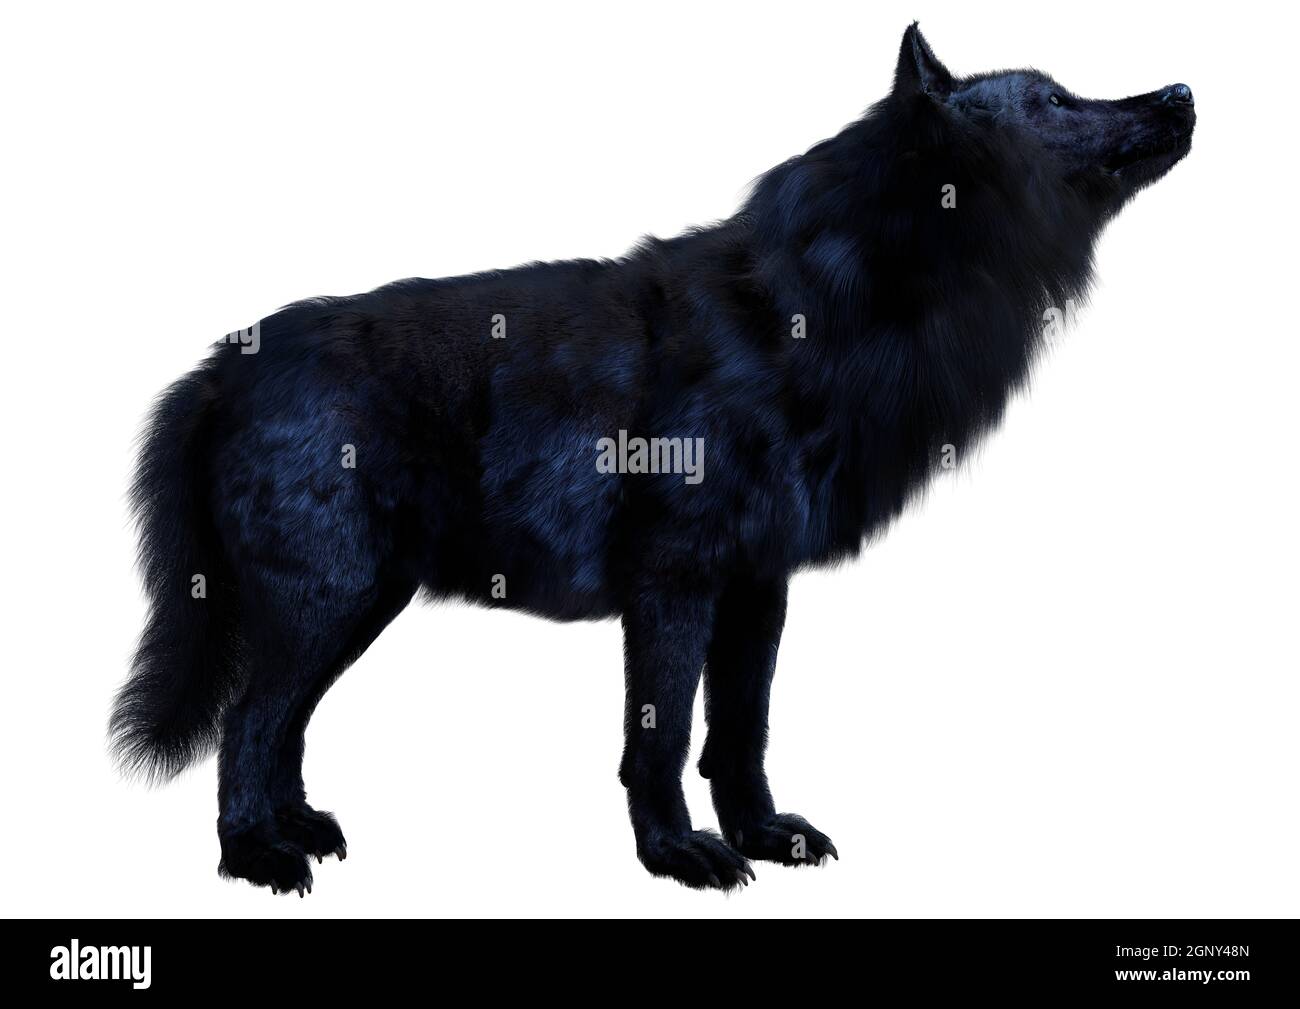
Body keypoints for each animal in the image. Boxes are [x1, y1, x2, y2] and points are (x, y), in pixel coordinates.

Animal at [113, 24, 1194, 894]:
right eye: (1053, 100)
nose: (1180, 93)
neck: (816, 314)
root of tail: (219, 366)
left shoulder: (757, 585)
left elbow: (742, 729)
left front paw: (762, 835)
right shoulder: (673, 585)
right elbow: (664, 735)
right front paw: (677, 854)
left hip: (355, 606)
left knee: (281, 725)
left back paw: (298, 827)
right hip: (325, 605)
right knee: (247, 723)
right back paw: (256, 855)